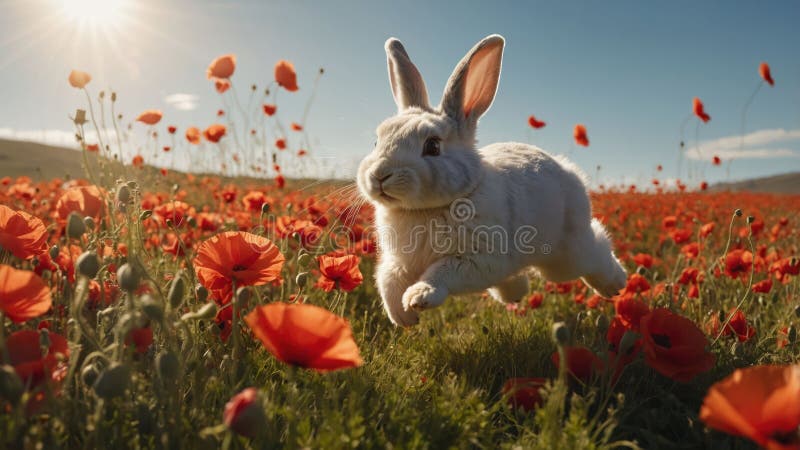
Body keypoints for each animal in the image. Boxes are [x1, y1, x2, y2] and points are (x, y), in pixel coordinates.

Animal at [356, 34, 627, 327]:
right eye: (376, 142)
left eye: (433, 146)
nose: (380, 175)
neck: (424, 209)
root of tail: (566, 168)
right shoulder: (398, 261)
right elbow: (387, 279)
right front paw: (403, 317)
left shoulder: (480, 258)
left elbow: (441, 271)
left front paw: (419, 297)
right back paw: (516, 293)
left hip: (567, 255)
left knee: (595, 247)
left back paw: (616, 285)